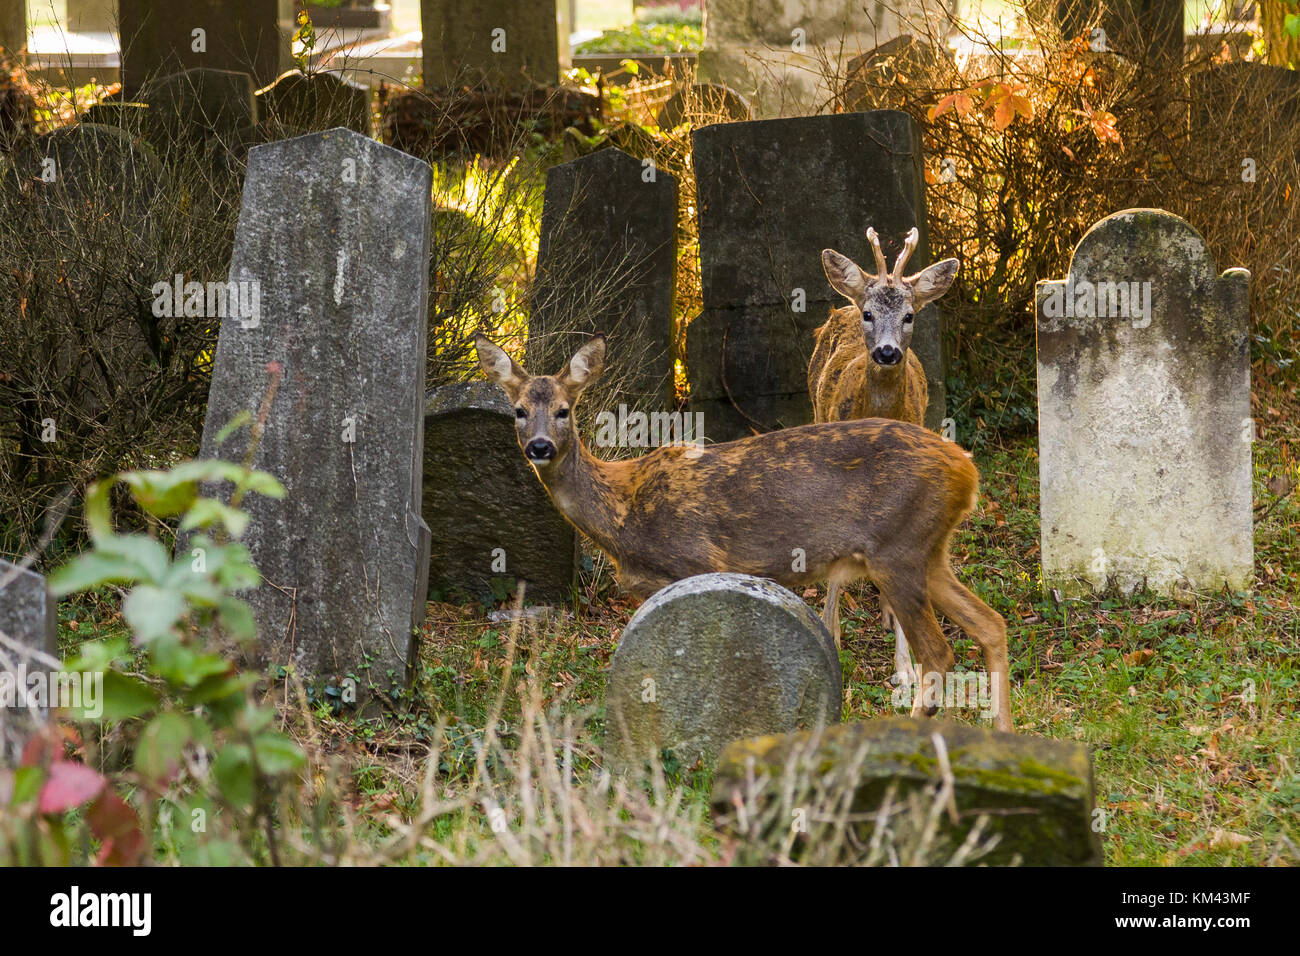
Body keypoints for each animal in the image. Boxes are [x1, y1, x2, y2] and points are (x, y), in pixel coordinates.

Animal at [474, 332, 1012, 732]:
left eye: (564, 410)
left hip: (898, 549)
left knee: (939, 653)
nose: (540, 446)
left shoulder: (696, 560)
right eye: (519, 411)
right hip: (929, 551)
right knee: (991, 623)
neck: (624, 513)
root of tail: (967, 469)